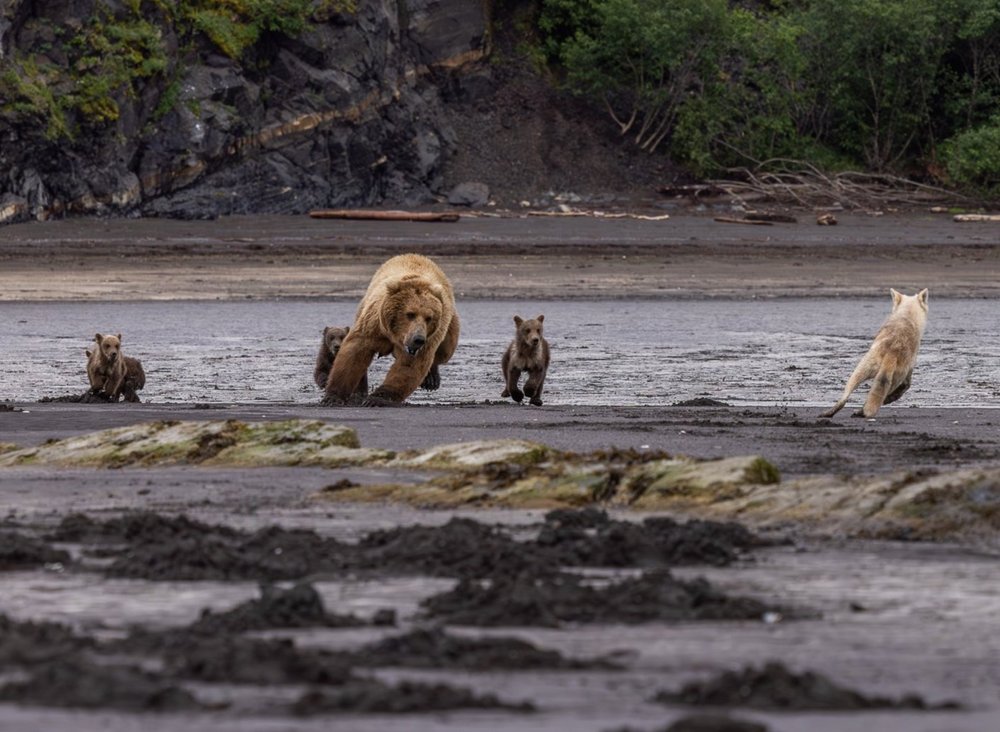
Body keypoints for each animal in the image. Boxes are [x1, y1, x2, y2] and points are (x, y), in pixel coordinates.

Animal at [322, 253, 459, 406]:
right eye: (410, 314)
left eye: (429, 318)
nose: (418, 339)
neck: (396, 335)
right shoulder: (374, 325)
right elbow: (354, 353)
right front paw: (333, 397)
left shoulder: (428, 339)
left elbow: (409, 365)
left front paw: (376, 398)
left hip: (449, 325)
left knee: (446, 350)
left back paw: (431, 379)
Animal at [820, 288, 928, 419]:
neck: (907, 315)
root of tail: (893, 350)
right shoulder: (908, 371)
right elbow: (905, 387)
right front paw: (891, 398)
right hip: (891, 377)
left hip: (860, 371)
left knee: (845, 400)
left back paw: (831, 413)